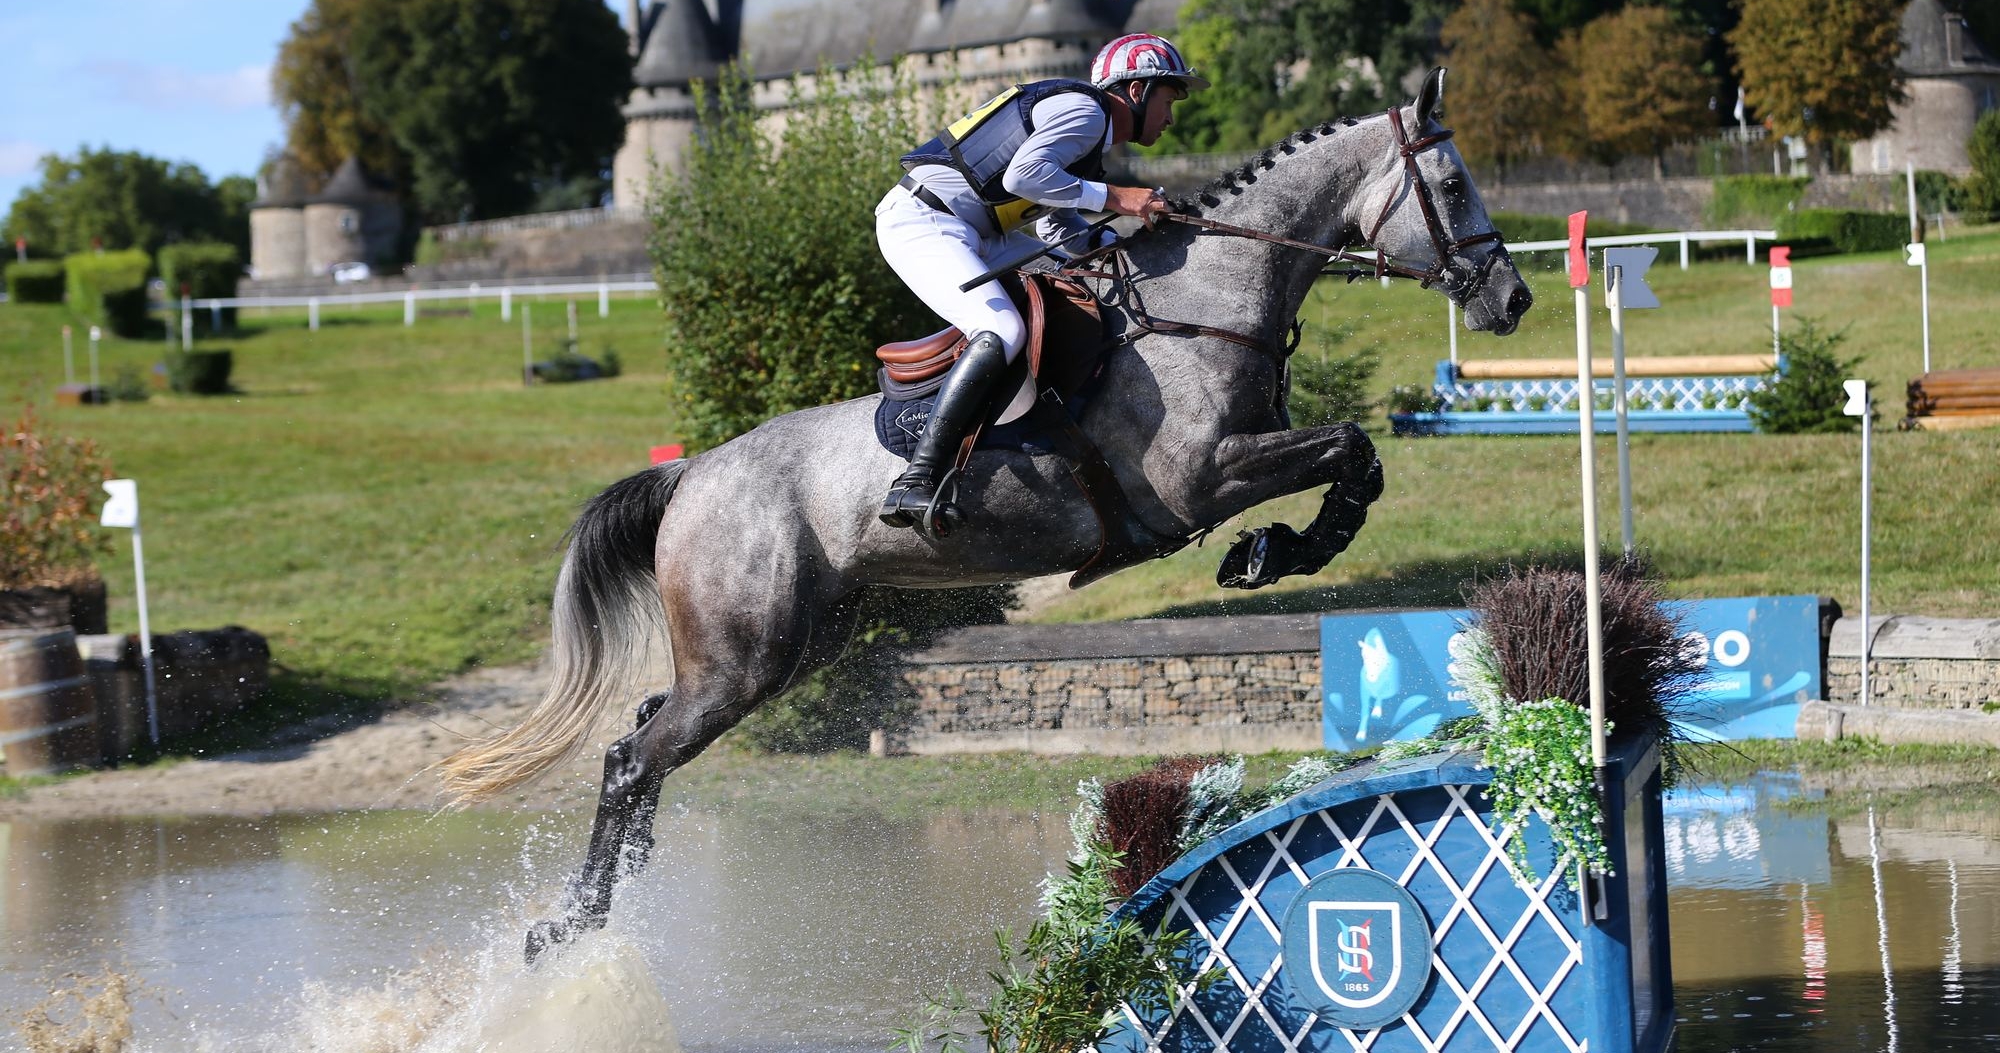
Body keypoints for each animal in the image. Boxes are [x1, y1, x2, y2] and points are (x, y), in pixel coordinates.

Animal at [439, 67, 1532, 964]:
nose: (1511, 298)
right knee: (630, 757)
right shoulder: (1199, 478)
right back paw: (569, 925)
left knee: (647, 733)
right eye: (1450, 188)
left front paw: (1282, 547)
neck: (1210, 300)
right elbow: (1349, 446)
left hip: (782, 647)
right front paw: (1279, 548)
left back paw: (621, 891)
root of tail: (694, 473)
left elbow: (1357, 456)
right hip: (744, 655)